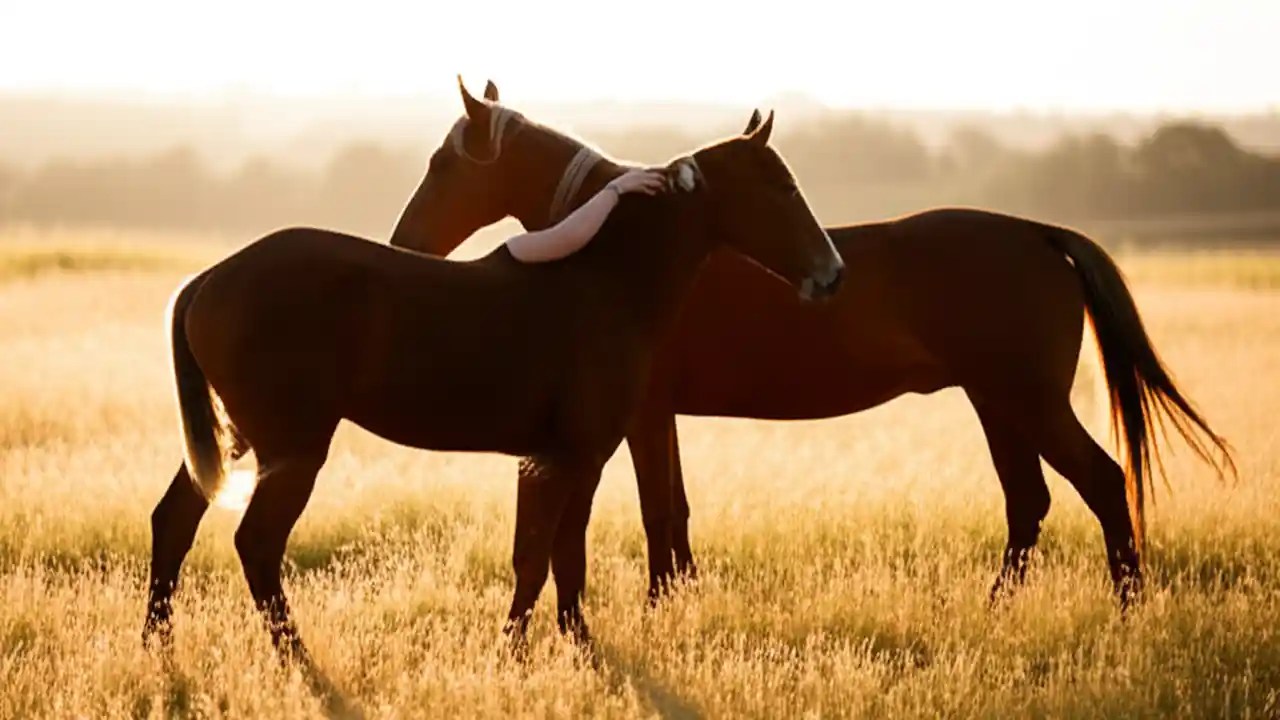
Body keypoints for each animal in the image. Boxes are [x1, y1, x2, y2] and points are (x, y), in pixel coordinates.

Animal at [141, 87, 845, 660]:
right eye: (782, 187)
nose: (831, 273)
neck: (604, 281)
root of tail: (209, 279)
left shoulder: (565, 457)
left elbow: (558, 556)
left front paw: (571, 643)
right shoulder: (575, 455)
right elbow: (543, 557)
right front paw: (518, 652)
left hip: (238, 437)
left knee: (174, 521)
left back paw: (157, 645)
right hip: (293, 448)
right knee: (257, 544)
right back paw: (296, 657)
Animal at [389, 80, 1236, 612]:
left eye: (442, 163)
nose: (405, 244)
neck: (638, 245)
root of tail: (1038, 234)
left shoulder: (645, 414)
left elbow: (660, 511)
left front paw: (663, 605)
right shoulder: (659, 417)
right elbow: (677, 511)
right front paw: (682, 600)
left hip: (1029, 403)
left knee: (1102, 484)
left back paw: (1126, 611)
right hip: (999, 404)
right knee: (1029, 502)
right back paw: (997, 609)